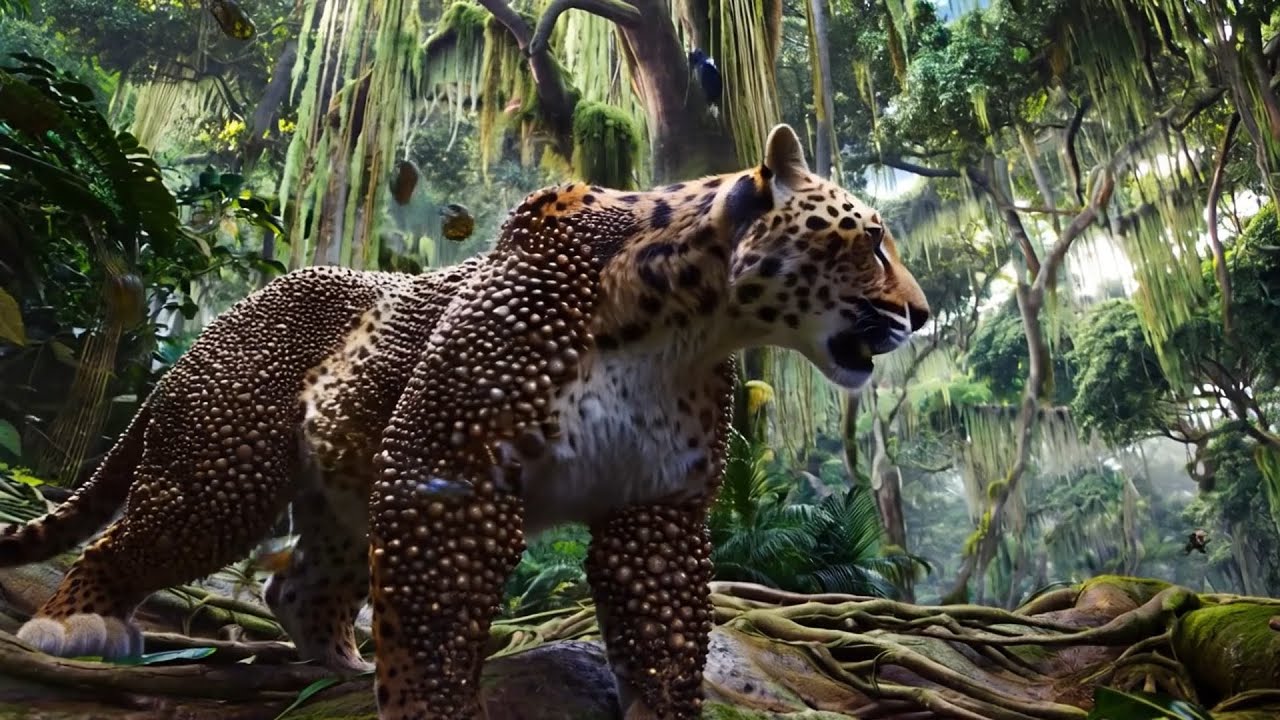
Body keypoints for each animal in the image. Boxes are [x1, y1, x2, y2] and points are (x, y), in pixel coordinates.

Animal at [0, 123, 928, 720]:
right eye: (872, 241)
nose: (920, 315)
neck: (687, 327)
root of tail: (218, 322)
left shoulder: (655, 506)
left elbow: (665, 630)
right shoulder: (446, 476)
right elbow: (436, 622)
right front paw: (428, 704)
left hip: (342, 497)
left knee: (296, 584)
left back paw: (340, 665)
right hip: (224, 473)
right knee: (126, 540)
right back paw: (71, 625)